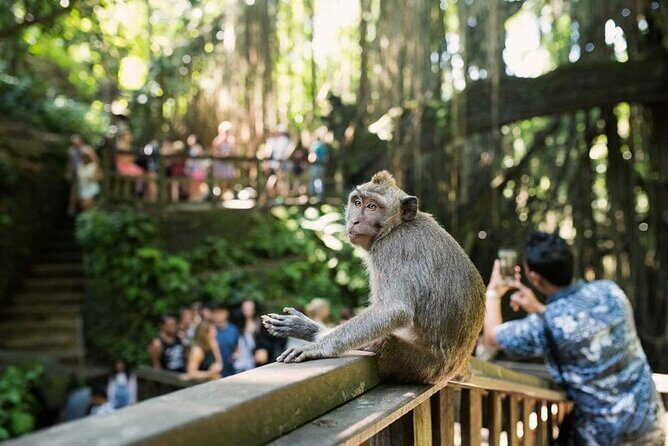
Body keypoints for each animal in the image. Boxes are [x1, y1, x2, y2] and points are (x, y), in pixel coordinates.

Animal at [261, 171, 485, 384]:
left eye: (372, 207)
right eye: (357, 203)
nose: (355, 221)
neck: (396, 227)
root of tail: (457, 365)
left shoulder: (392, 249)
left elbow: (394, 309)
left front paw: (319, 347)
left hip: (421, 365)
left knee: (384, 342)